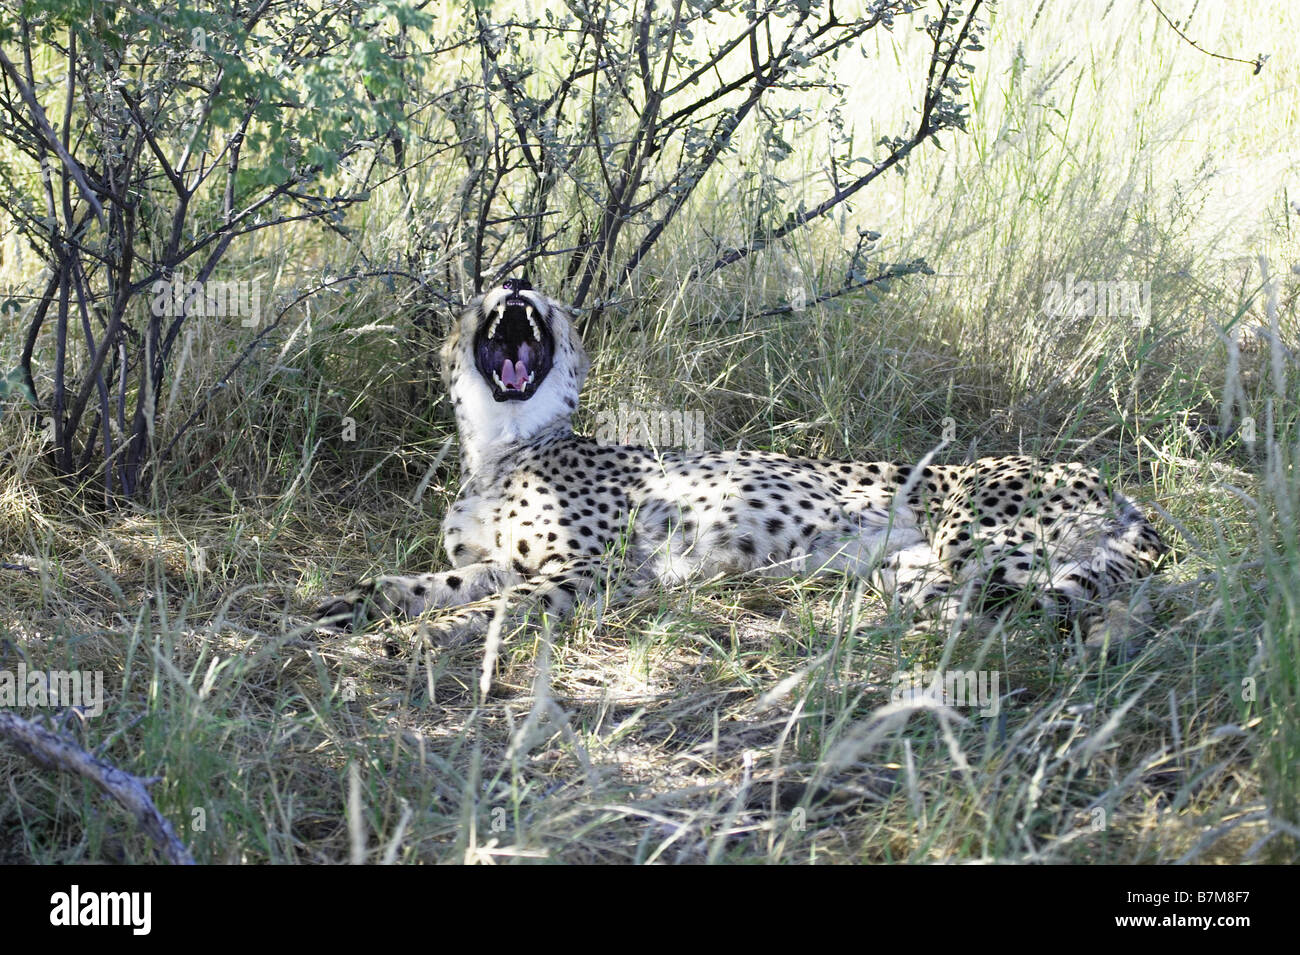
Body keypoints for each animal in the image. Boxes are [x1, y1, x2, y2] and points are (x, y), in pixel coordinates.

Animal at [313, 278, 1168, 654]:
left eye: (542, 300)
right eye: (491, 289)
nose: (518, 281)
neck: (504, 441)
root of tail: (1113, 484)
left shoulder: (599, 568)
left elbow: (497, 608)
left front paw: (422, 637)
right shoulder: (493, 559)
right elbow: (429, 584)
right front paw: (356, 604)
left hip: (979, 539)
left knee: (1080, 605)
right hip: (918, 571)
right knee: (1002, 609)